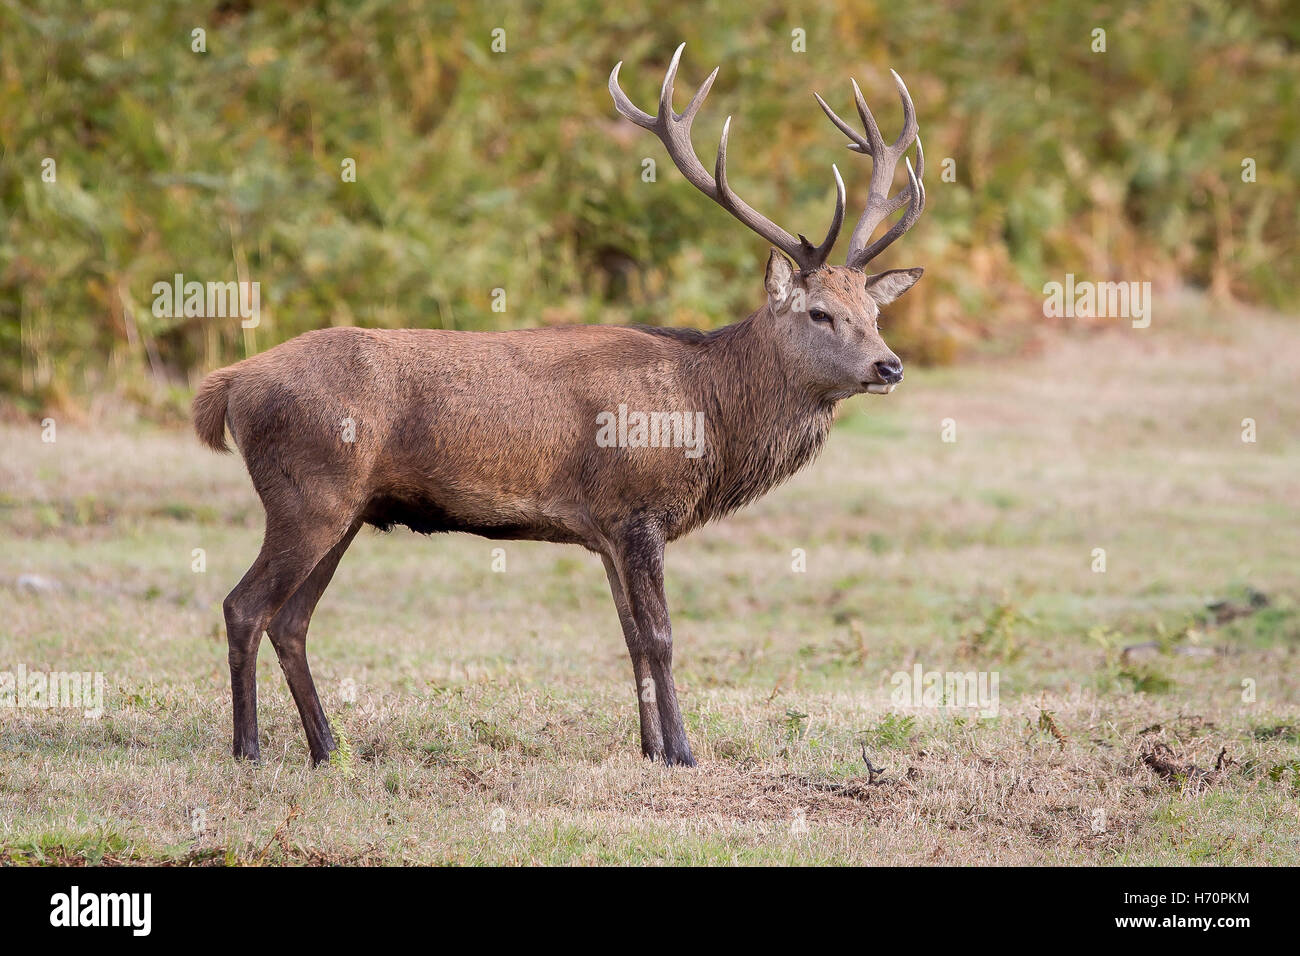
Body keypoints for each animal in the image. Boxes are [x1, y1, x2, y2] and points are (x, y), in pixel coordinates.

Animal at [192, 44, 925, 768]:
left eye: (874, 313)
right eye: (820, 313)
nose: (889, 365)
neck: (708, 413)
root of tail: (228, 384)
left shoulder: (604, 528)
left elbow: (629, 636)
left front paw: (650, 749)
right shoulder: (639, 508)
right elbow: (660, 635)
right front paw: (685, 753)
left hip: (346, 510)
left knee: (291, 620)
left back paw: (327, 749)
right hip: (307, 495)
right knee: (242, 606)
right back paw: (248, 749)